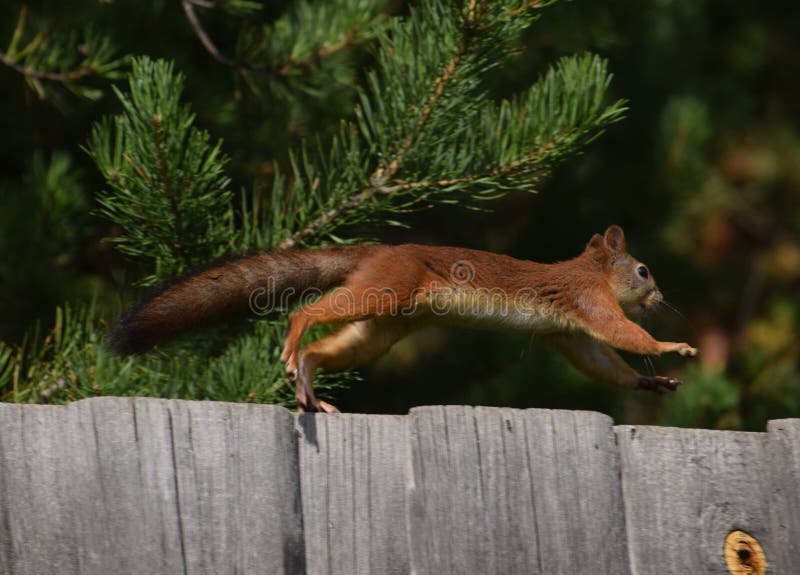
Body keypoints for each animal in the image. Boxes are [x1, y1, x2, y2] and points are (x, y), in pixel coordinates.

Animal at [110, 225, 697, 412]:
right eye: (643, 271)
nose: (661, 296)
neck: (589, 271)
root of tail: (373, 254)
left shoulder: (567, 335)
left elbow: (603, 363)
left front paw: (652, 382)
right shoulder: (589, 304)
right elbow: (624, 333)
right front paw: (672, 349)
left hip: (380, 329)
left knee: (328, 349)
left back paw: (309, 385)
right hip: (383, 292)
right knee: (307, 311)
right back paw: (294, 343)